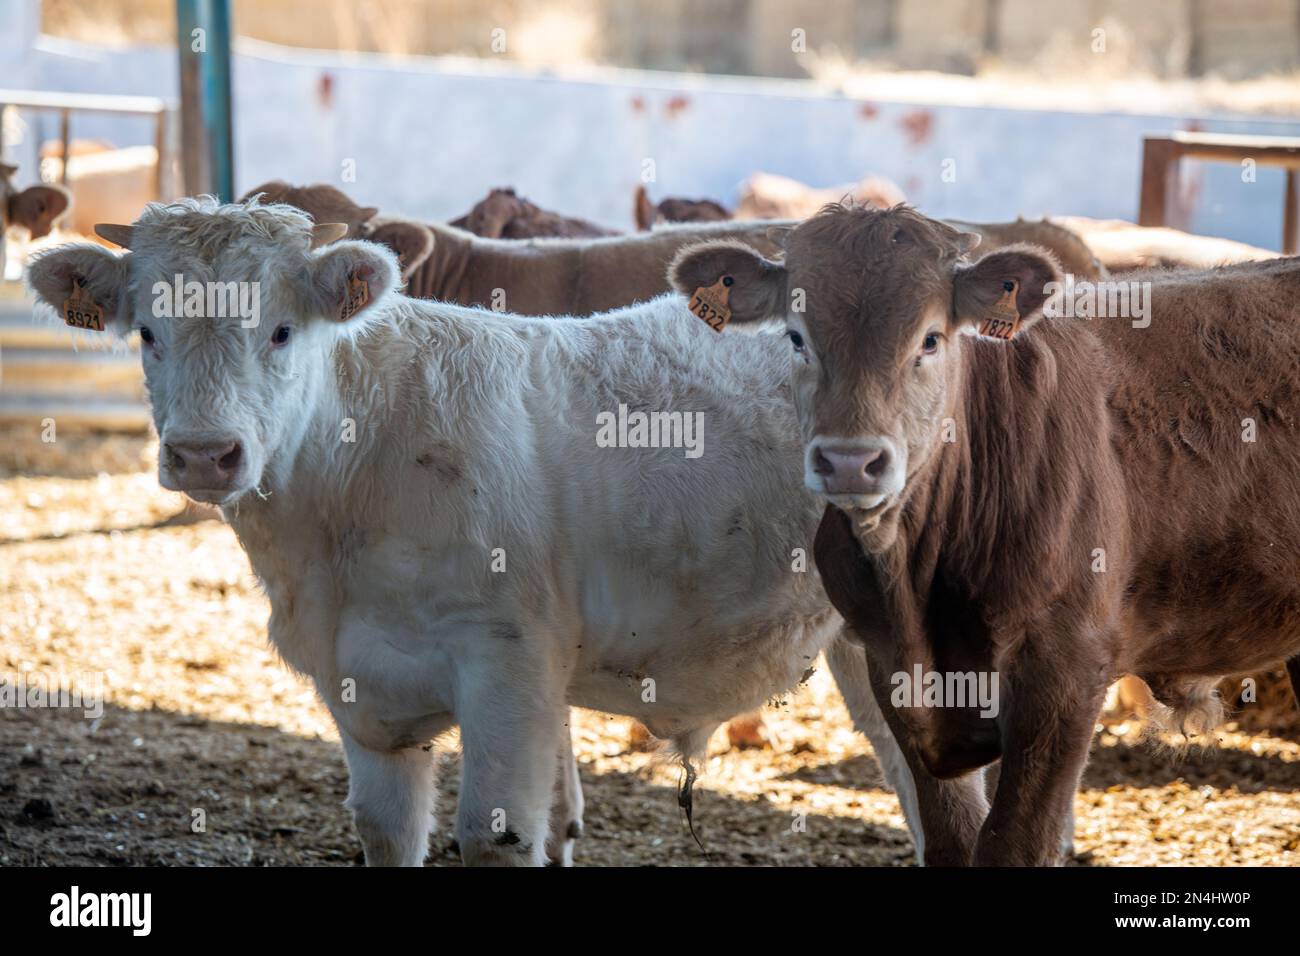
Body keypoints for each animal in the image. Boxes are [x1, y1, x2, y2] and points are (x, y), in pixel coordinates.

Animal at [27, 197, 920, 866]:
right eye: (148, 332)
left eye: (281, 330)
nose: (205, 454)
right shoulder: (362, 691)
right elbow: (386, 832)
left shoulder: (509, 667)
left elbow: (500, 834)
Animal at [669, 202, 1300, 865]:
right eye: (796, 336)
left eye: (930, 338)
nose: (849, 461)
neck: (918, 582)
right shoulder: (891, 666)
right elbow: (950, 837)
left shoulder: (1064, 672)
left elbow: (1011, 843)